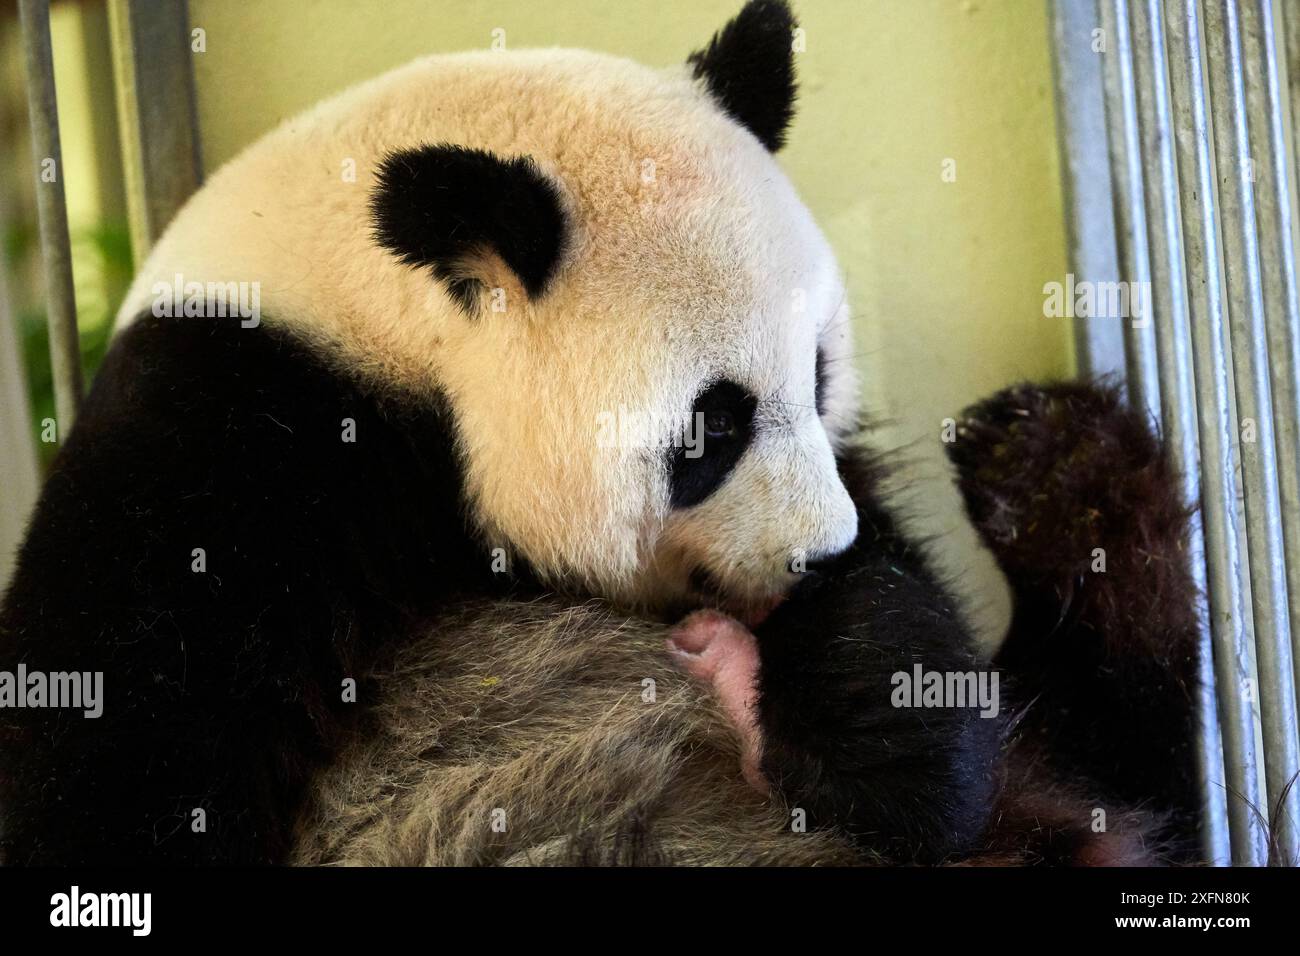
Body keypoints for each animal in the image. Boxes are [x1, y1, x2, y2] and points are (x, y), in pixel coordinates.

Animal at [0, 0, 1201, 866]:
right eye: (711, 429)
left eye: (818, 373)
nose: (823, 554)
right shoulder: (225, 446)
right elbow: (115, 750)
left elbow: (942, 691)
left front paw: (870, 709)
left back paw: (1064, 479)